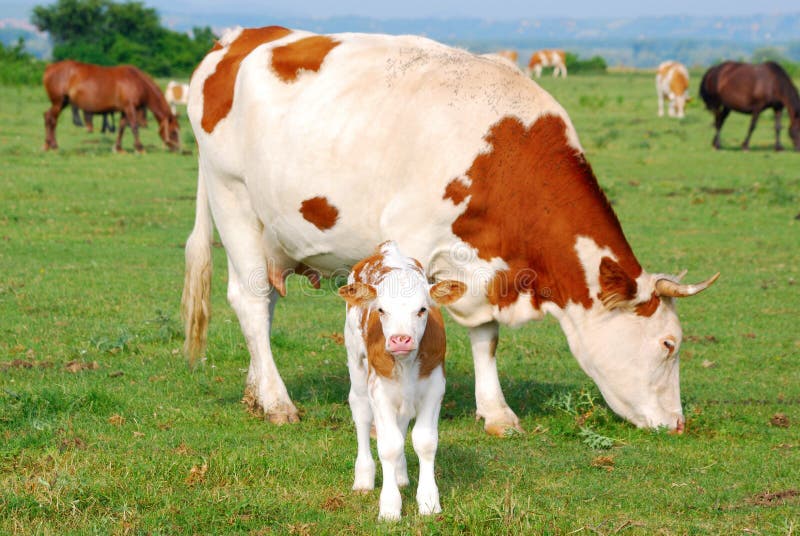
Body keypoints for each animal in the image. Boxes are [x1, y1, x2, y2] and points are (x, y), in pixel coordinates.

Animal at [182, 26, 719, 438]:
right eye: (669, 345)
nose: (677, 424)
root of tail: (236, 38)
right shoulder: (411, 242)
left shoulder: (485, 264)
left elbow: (486, 337)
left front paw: (497, 413)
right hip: (232, 197)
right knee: (251, 302)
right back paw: (277, 402)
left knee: (265, 303)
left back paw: (256, 391)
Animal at [337, 241, 466, 520]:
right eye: (381, 310)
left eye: (422, 309)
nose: (400, 339)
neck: (406, 364)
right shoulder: (379, 391)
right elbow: (389, 445)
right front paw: (389, 507)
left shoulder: (435, 387)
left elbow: (425, 442)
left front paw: (428, 501)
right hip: (356, 361)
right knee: (361, 411)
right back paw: (364, 478)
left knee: (402, 420)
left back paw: (400, 474)